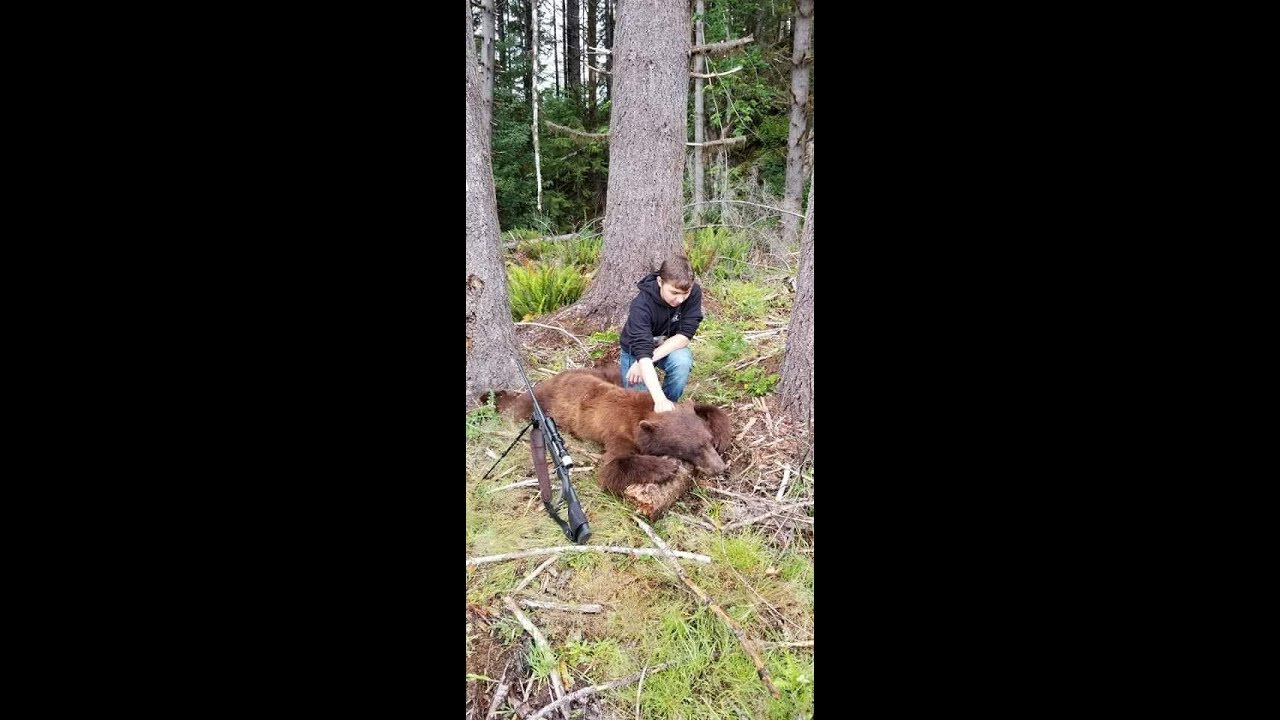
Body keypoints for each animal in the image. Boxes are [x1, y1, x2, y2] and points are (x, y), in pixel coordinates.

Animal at [489, 364, 733, 518]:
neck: (638, 414)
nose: (720, 467)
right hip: (537, 403)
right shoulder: (618, 433)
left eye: (707, 441)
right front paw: (664, 467)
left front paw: (722, 432)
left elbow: (701, 406)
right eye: (694, 449)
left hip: (597, 372)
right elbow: (612, 467)